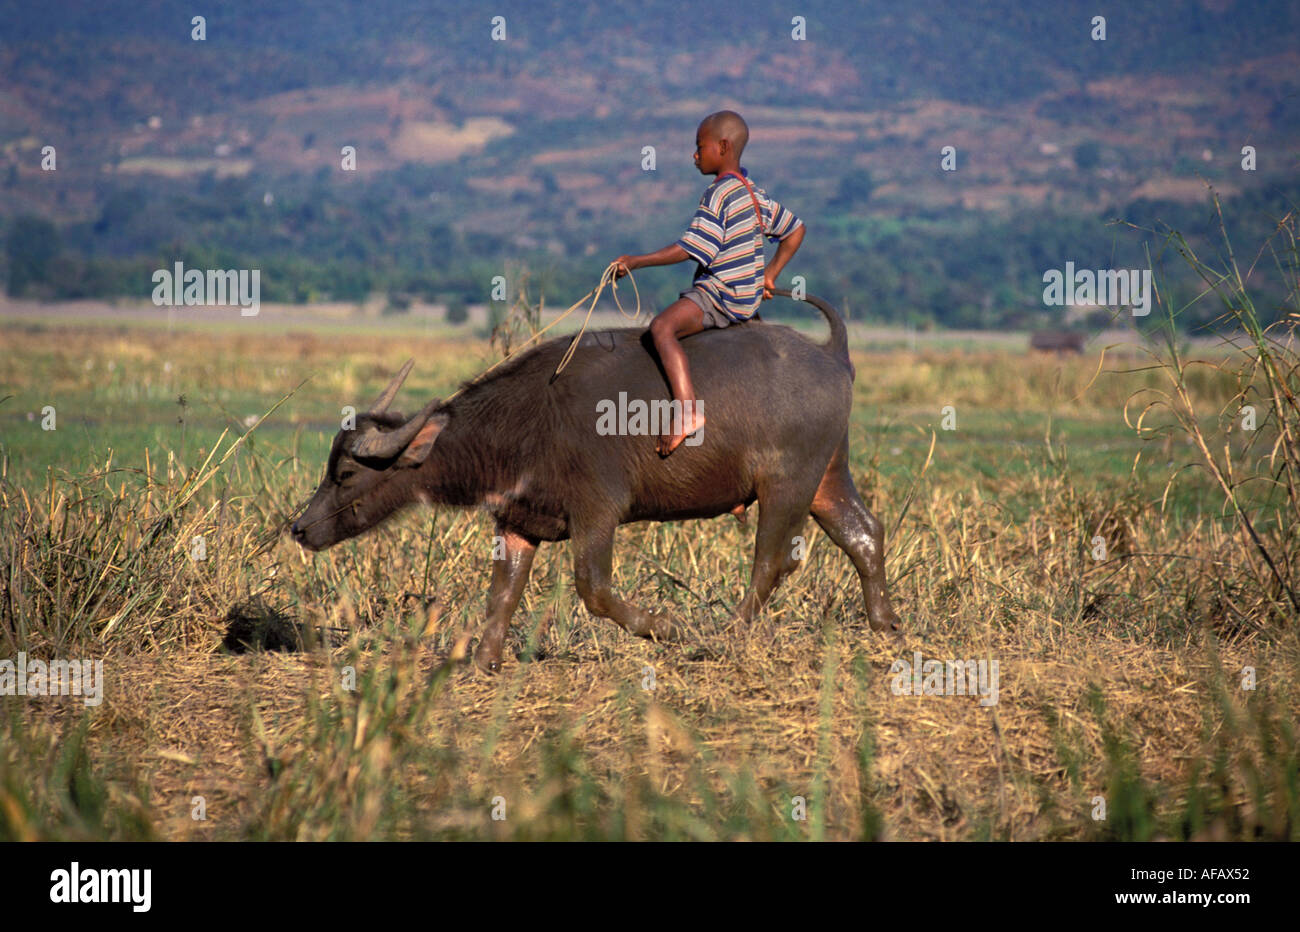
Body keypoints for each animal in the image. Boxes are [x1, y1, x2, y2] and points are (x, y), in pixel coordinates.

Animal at [291, 289, 900, 672]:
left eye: (345, 472)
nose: (299, 528)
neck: (529, 421)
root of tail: (832, 355)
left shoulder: (597, 512)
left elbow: (594, 590)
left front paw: (671, 629)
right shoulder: (518, 521)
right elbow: (502, 594)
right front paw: (482, 660)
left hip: (787, 483)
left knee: (773, 560)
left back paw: (726, 634)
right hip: (827, 475)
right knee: (863, 533)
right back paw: (886, 624)